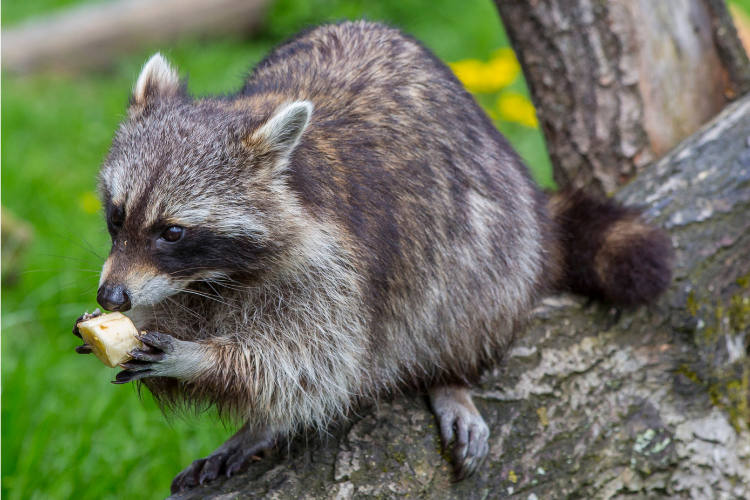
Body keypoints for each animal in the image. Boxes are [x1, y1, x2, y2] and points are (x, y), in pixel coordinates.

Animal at [77, 21, 672, 492]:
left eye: (172, 232)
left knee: (463, 296)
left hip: (497, 234)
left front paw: (196, 356)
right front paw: (141, 325)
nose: (112, 295)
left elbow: (312, 362)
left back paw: (450, 373)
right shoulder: (196, 280)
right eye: (116, 217)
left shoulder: (333, 265)